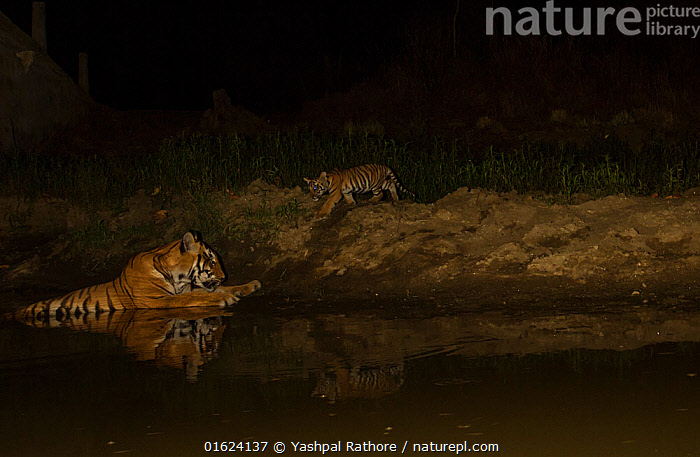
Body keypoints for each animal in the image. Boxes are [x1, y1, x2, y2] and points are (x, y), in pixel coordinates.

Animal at [11, 231, 262, 322]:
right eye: (211, 261)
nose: (223, 275)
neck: (179, 278)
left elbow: (217, 289)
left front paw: (251, 285)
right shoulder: (157, 300)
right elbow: (193, 298)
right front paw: (225, 299)